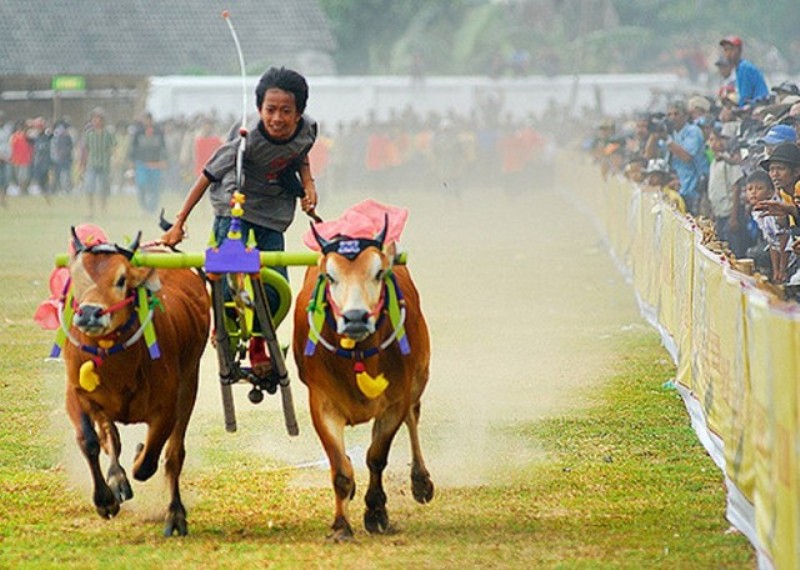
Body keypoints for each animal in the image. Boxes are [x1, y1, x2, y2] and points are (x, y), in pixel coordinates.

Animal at [61, 229, 210, 536]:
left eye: (121, 279)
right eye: (77, 276)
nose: (90, 313)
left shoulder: (167, 408)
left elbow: (150, 462)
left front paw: (138, 456)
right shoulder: (76, 394)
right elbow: (91, 442)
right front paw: (106, 498)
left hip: (191, 382)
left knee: (173, 454)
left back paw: (175, 515)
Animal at [292, 221, 434, 541]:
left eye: (378, 272)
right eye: (330, 276)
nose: (355, 317)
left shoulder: (395, 401)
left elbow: (376, 457)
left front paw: (376, 512)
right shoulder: (322, 403)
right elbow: (340, 469)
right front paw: (340, 526)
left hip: (419, 378)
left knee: (413, 417)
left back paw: (421, 482)